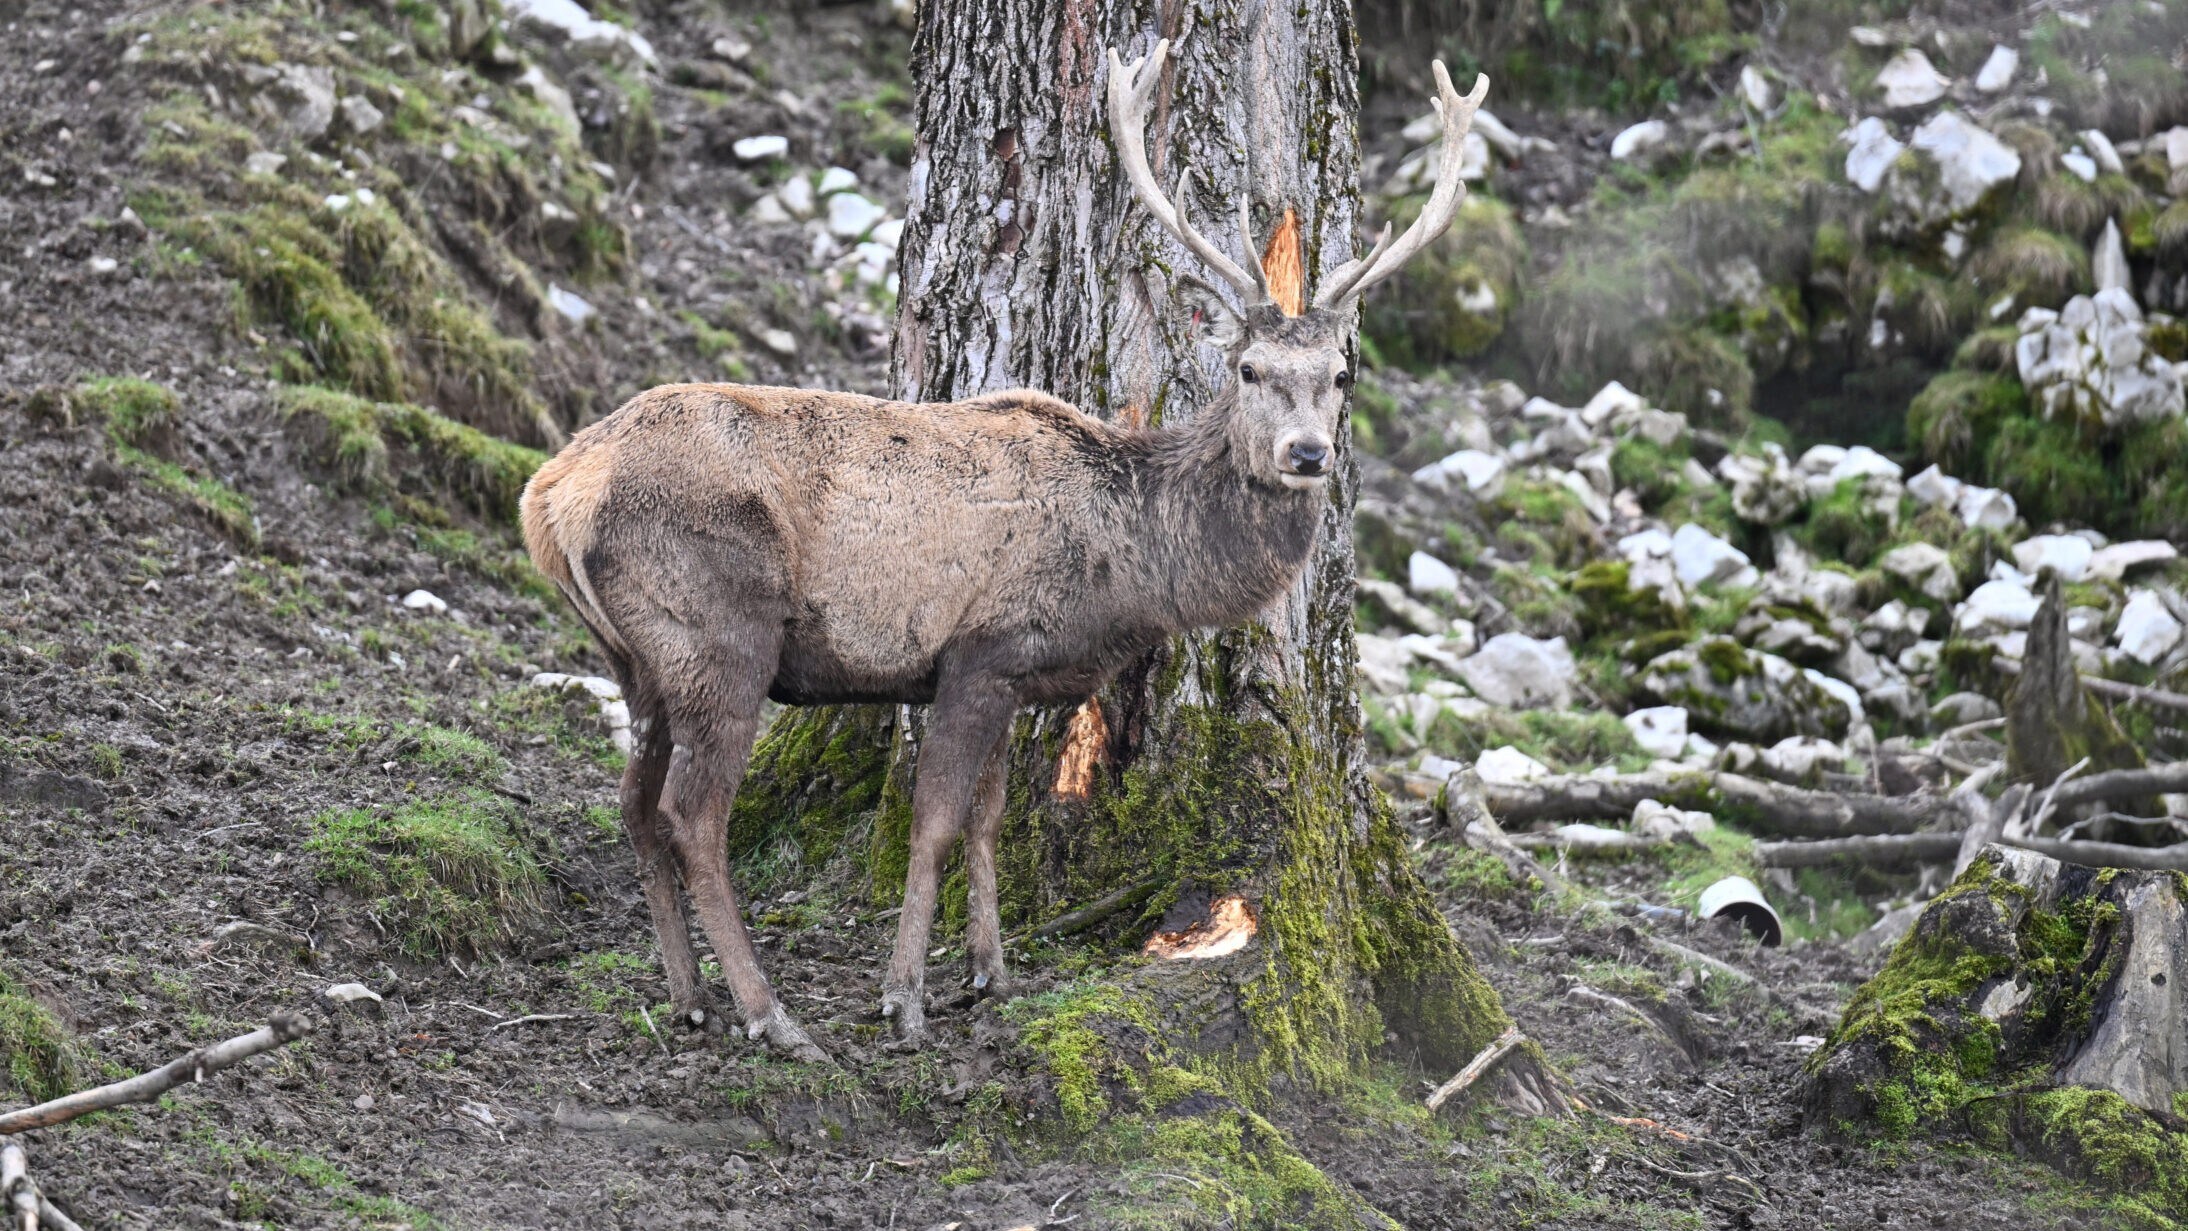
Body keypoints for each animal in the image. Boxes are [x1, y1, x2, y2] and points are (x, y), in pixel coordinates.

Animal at [518, 40, 1487, 1062]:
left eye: (1340, 376)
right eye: (1249, 369)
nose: (1307, 453)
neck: (1128, 557)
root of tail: (551, 495)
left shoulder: (1015, 672)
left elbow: (985, 818)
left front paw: (989, 971)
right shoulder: (982, 648)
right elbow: (936, 823)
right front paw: (903, 1000)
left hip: (638, 657)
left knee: (633, 804)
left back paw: (688, 994)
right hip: (718, 630)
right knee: (692, 814)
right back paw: (770, 1014)